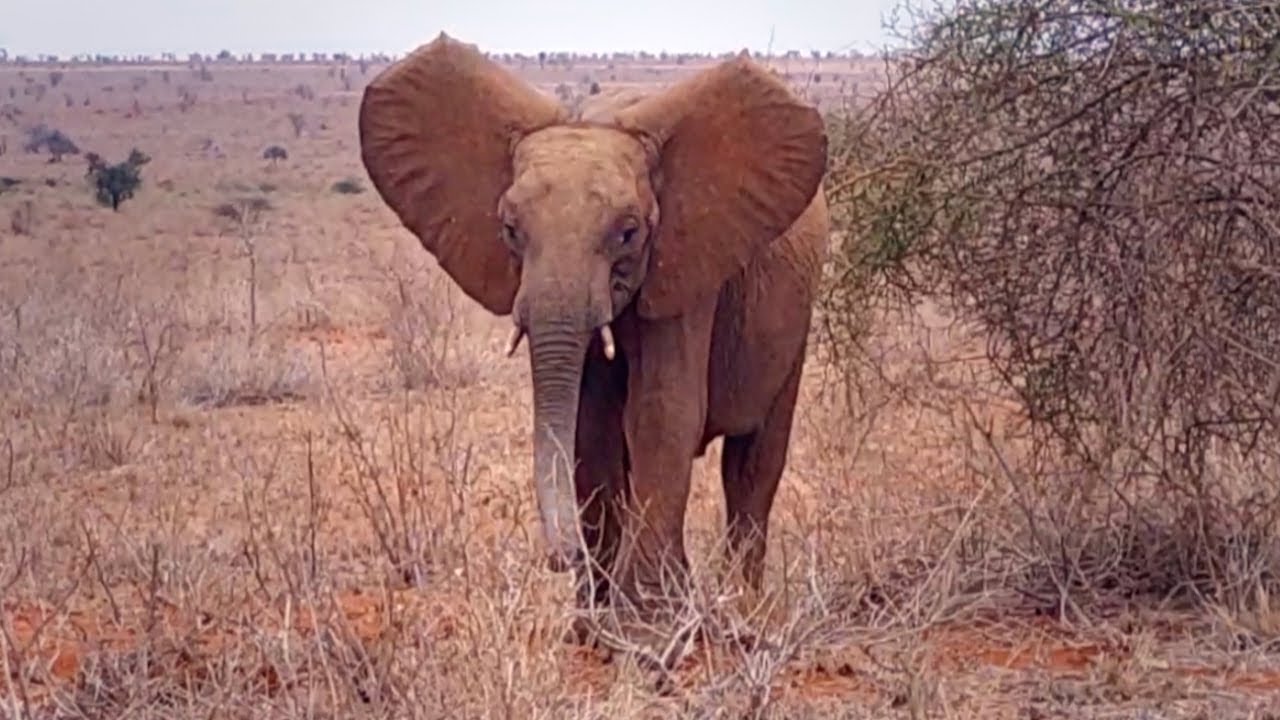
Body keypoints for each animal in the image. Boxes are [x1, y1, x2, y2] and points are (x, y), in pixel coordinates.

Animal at [358, 33, 829, 631]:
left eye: (628, 233)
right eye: (509, 230)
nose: (561, 558)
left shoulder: (685, 262)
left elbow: (662, 411)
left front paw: (648, 621)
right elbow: (591, 426)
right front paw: (593, 623)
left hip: (797, 316)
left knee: (752, 464)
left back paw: (742, 607)